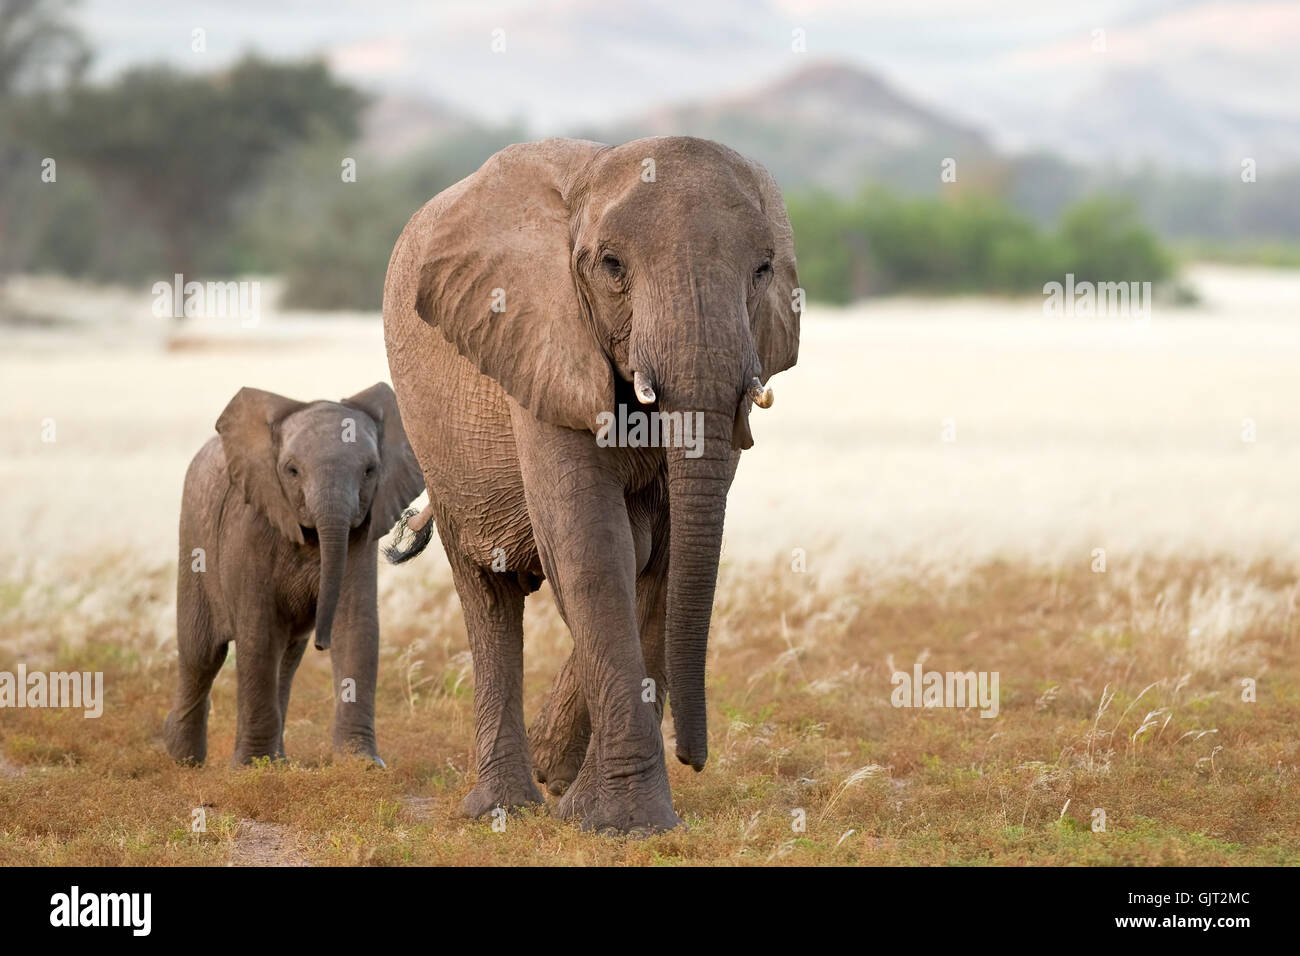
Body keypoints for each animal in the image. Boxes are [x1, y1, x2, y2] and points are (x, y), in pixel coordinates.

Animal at [162, 383, 423, 766]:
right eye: (292, 471)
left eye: (370, 471)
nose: (321, 643)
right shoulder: (251, 524)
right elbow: (257, 633)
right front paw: (251, 768)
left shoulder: (362, 533)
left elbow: (356, 626)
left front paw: (362, 765)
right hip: (193, 533)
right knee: (201, 654)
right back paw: (182, 759)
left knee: (286, 661)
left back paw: (278, 760)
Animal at [383, 136, 799, 833]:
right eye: (611, 266)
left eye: (763, 270)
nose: (694, 759)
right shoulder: (540, 340)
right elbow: (593, 552)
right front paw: (628, 824)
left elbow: (663, 559)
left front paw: (583, 808)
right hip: (438, 443)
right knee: (488, 595)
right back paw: (504, 807)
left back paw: (549, 780)